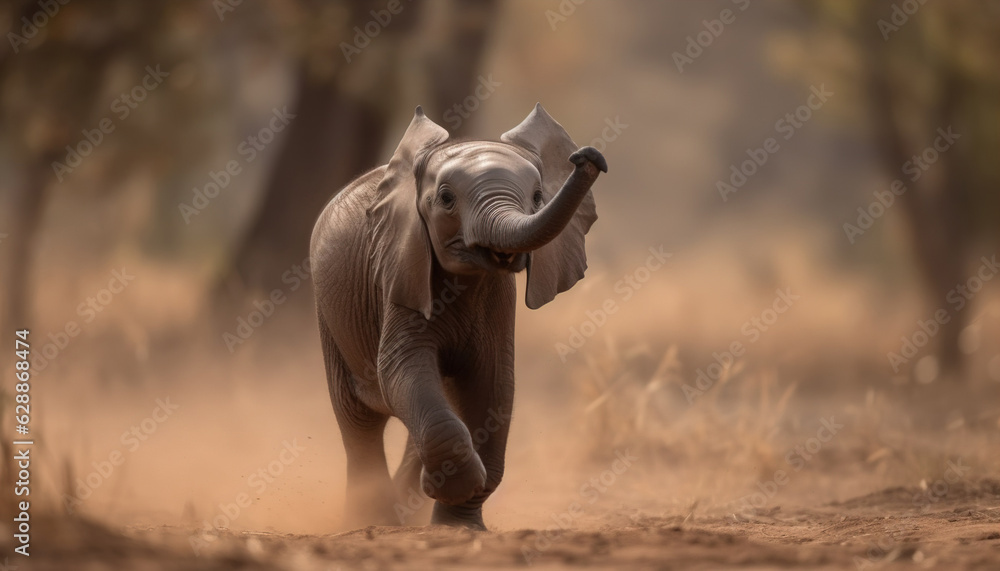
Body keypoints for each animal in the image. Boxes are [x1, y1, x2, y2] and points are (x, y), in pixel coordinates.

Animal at [310, 103, 607, 530]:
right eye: (446, 198)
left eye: (537, 196)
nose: (588, 157)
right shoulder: (400, 273)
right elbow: (401, 368)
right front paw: (455, 487)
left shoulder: (497, 299)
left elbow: (493, 384)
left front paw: (460, 524)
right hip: (328, 313)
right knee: (358, 419)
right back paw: (371, 518)